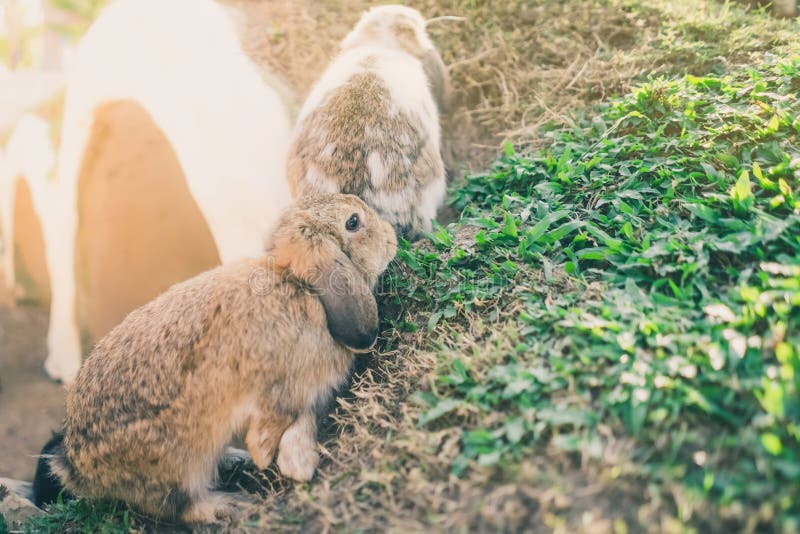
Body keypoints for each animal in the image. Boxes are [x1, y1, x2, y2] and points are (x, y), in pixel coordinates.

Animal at [32, 194, 397, 524]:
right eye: (353, 222)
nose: (393, 237)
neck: (299, 285)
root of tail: (76, 466)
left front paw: (293, 460)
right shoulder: (282, 388)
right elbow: (284, 421)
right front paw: (283, 460)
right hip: (177, 462)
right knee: (178, 505)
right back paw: (231, 505)